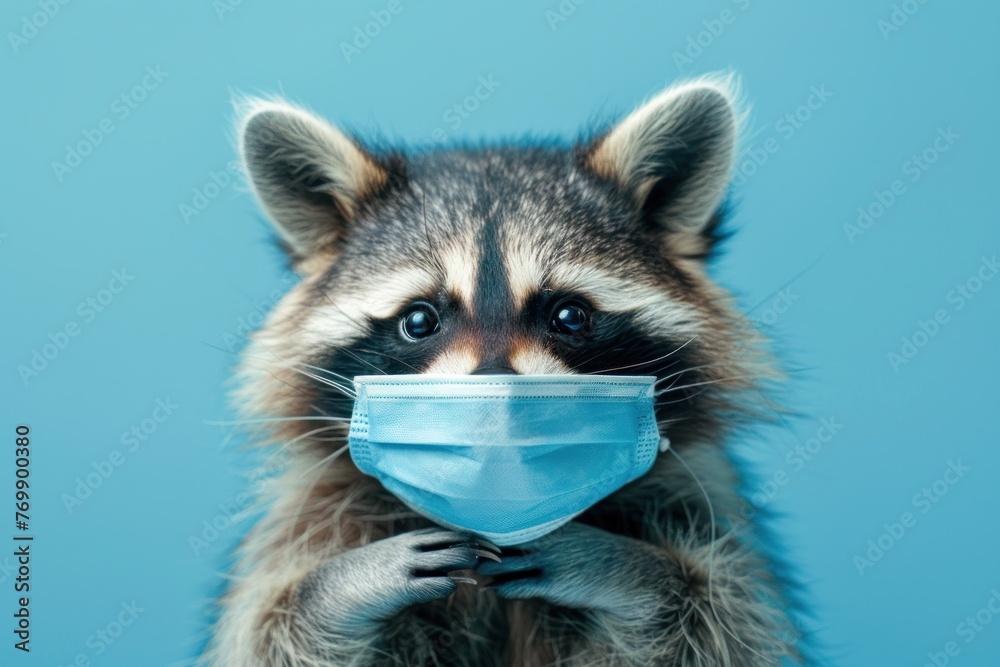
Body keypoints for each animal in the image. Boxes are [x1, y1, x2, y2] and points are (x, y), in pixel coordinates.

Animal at [203, 74, 804, 666]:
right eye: (419, 320)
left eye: (569, 315)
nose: (494, 421)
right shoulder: (313, 509)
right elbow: (270, 629)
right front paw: (342, 586)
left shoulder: (695, 498)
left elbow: (725, 623)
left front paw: (638, 575)